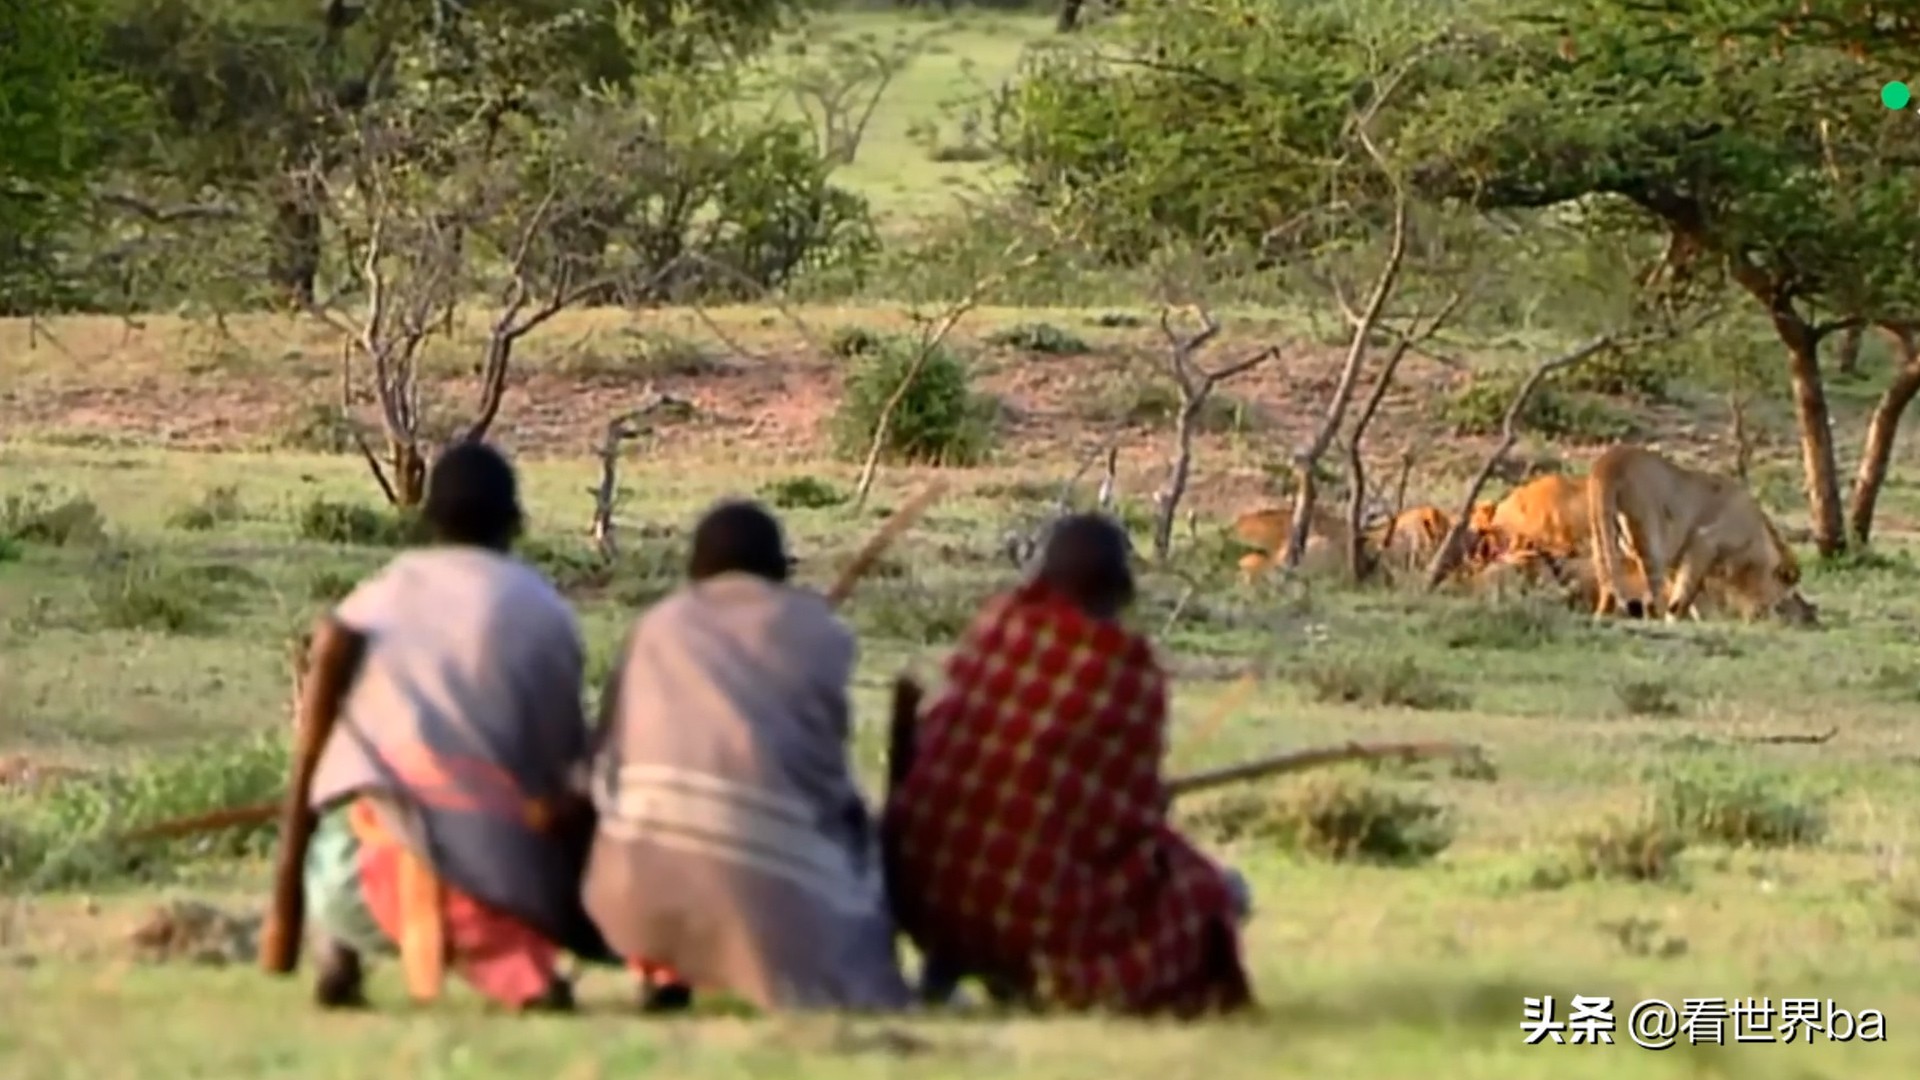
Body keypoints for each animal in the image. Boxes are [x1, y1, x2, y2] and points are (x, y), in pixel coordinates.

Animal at [1586, 444, 1816, 624]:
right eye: (1783, 602)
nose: (1809, 615)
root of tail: (1610, 460)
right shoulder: (1703, 541)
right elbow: (1688, 588)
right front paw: (1679, 616)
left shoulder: (1682, 557)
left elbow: (1687, 587)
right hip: (1652, 538)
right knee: (1652, 591)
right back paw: (1654, 615)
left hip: (1603, 533)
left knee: (1606, 572)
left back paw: (1603, 613)